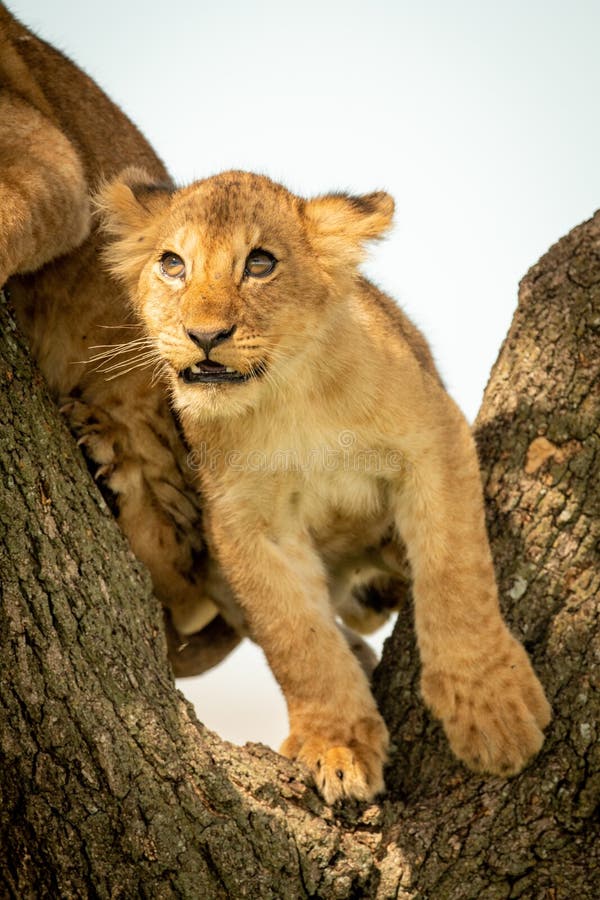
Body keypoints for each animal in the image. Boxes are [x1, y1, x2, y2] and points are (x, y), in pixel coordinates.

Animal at [96, 168, 552, 803]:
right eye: (172, 264)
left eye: (260, 264)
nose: (204, 335)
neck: (286, 396)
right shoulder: (246, 524)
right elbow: (299, 639)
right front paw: (337, 746)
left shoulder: (434, 438)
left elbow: (455, 574)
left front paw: (492, 709)